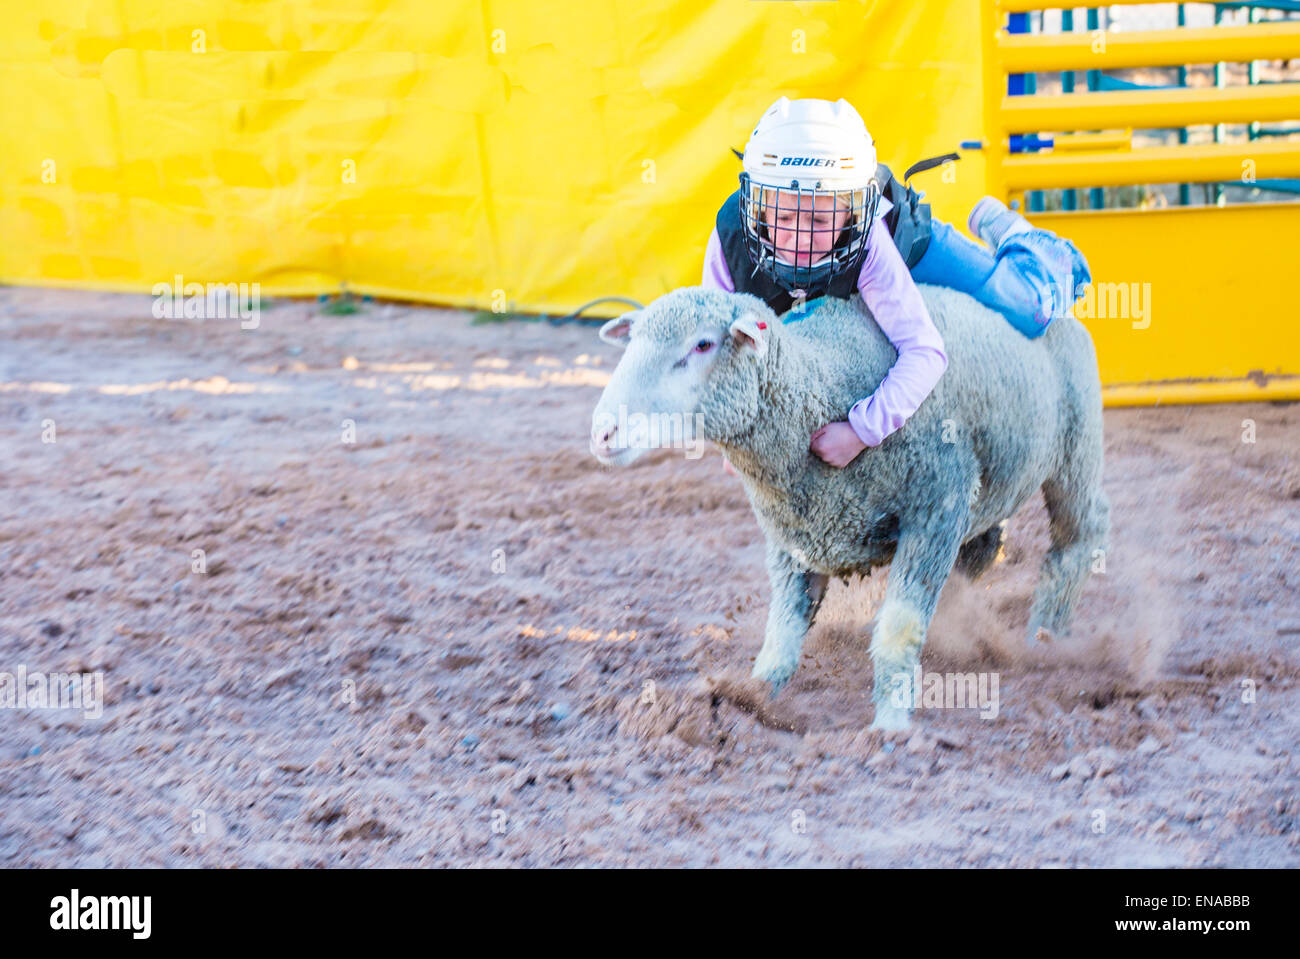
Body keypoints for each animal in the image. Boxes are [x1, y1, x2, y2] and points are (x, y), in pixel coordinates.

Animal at [589, 285, 1110, 730]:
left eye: (701, 345)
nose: (604, 433)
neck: (822, 388)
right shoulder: (794, 541)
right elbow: (782, 634)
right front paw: (748, 696)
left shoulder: (938, 505)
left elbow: (899, 627)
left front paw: (890, 726)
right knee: (985, 546)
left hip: (1076, 449)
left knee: (1077, 539)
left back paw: (1046, 636)